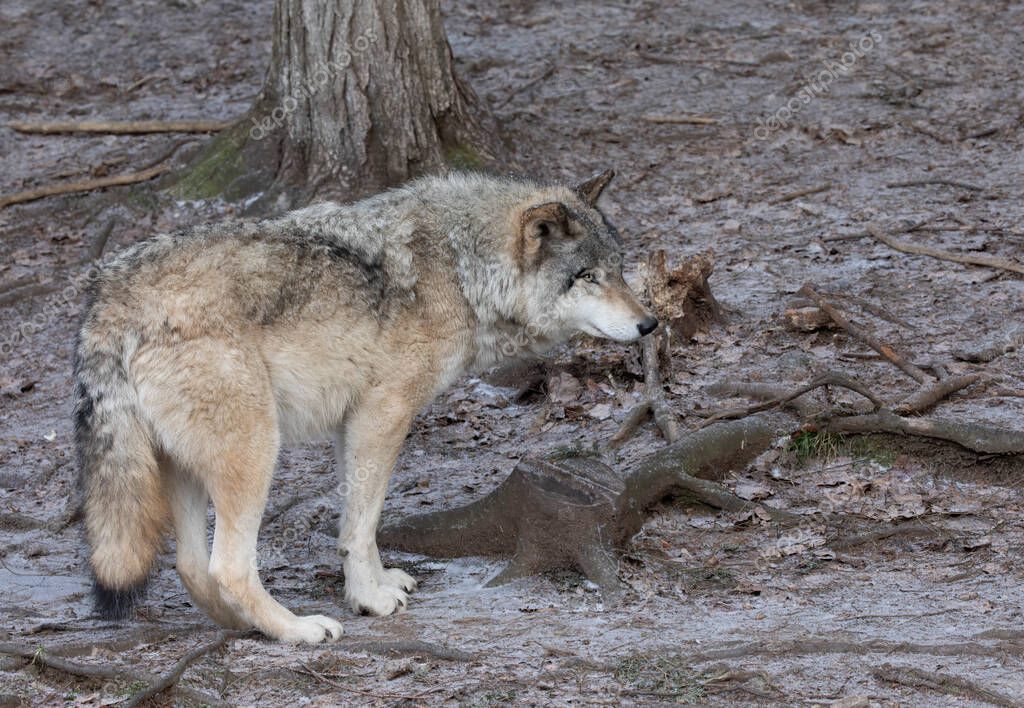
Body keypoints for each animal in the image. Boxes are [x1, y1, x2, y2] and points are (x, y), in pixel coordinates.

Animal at [74, 169, 657, 643]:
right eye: (587, 277)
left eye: (618, 270)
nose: (650, 323)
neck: (461, 267)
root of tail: (109, 296)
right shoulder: (384, 414)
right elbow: (363, 522)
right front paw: (369, 600)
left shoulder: (351, 424)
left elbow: (362, 521)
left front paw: (377, 583)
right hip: (256, 451)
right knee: (228, 568)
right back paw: (297, 630)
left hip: (184, 466)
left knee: (191, 567)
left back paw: (244, 626)